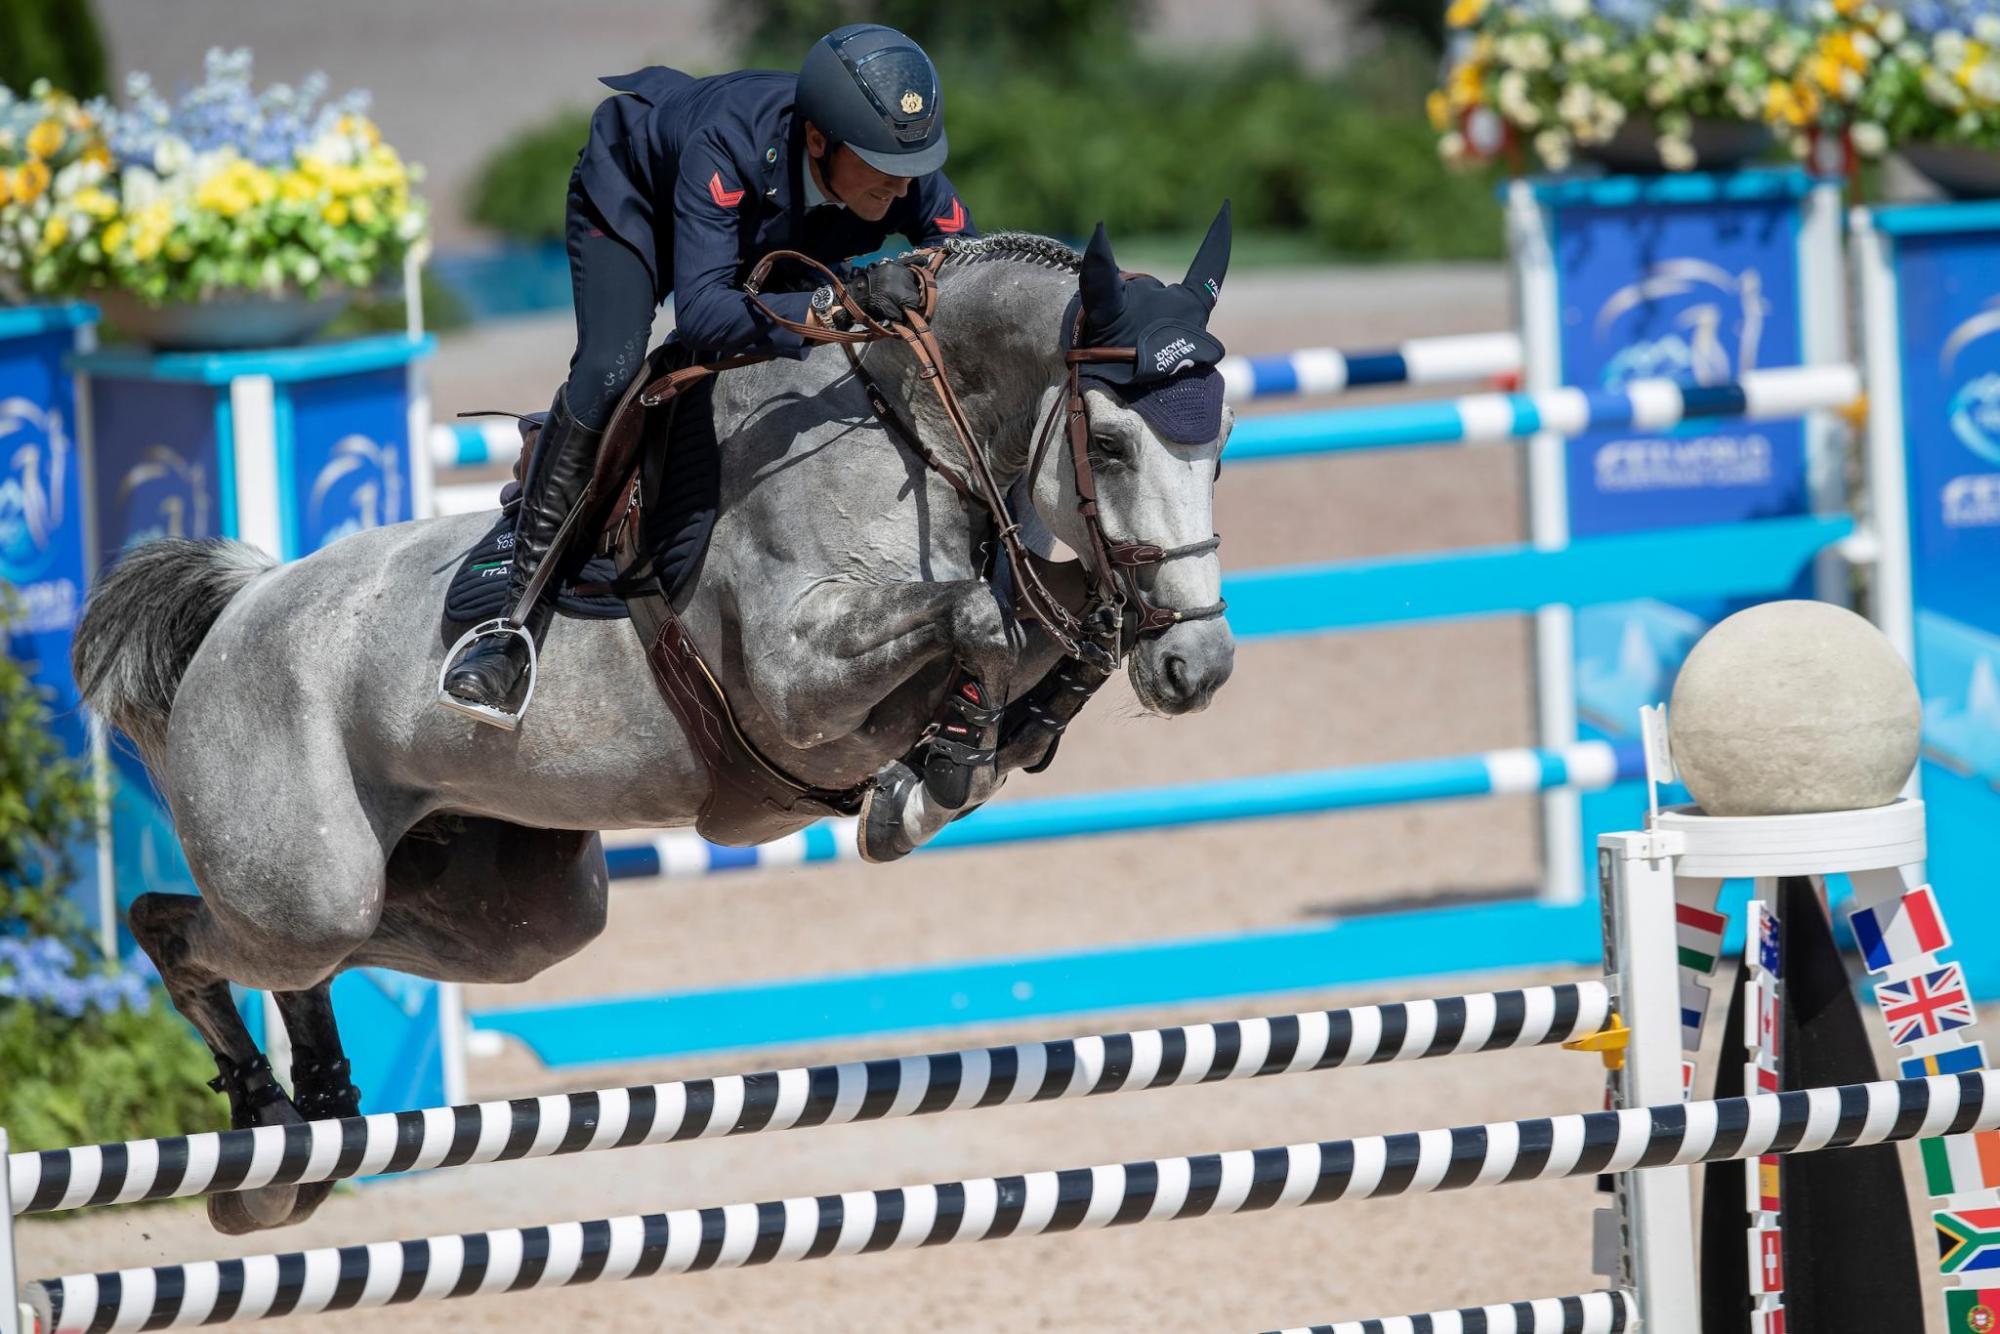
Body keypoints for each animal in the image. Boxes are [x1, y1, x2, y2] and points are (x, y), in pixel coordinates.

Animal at [69, 214, 1238, 1235]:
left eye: (1220, 445)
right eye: (1112, 444)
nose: (1201, 668)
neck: (910, 436)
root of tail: (240, 607)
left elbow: (1047, 624)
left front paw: (977, 750)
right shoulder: (794, 684)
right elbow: (980, 617)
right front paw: (935, 776)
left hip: (509, 911)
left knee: (335, 955)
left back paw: (305, 1131)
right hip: (307, 883)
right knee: (183, 926)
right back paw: (263, 1126)